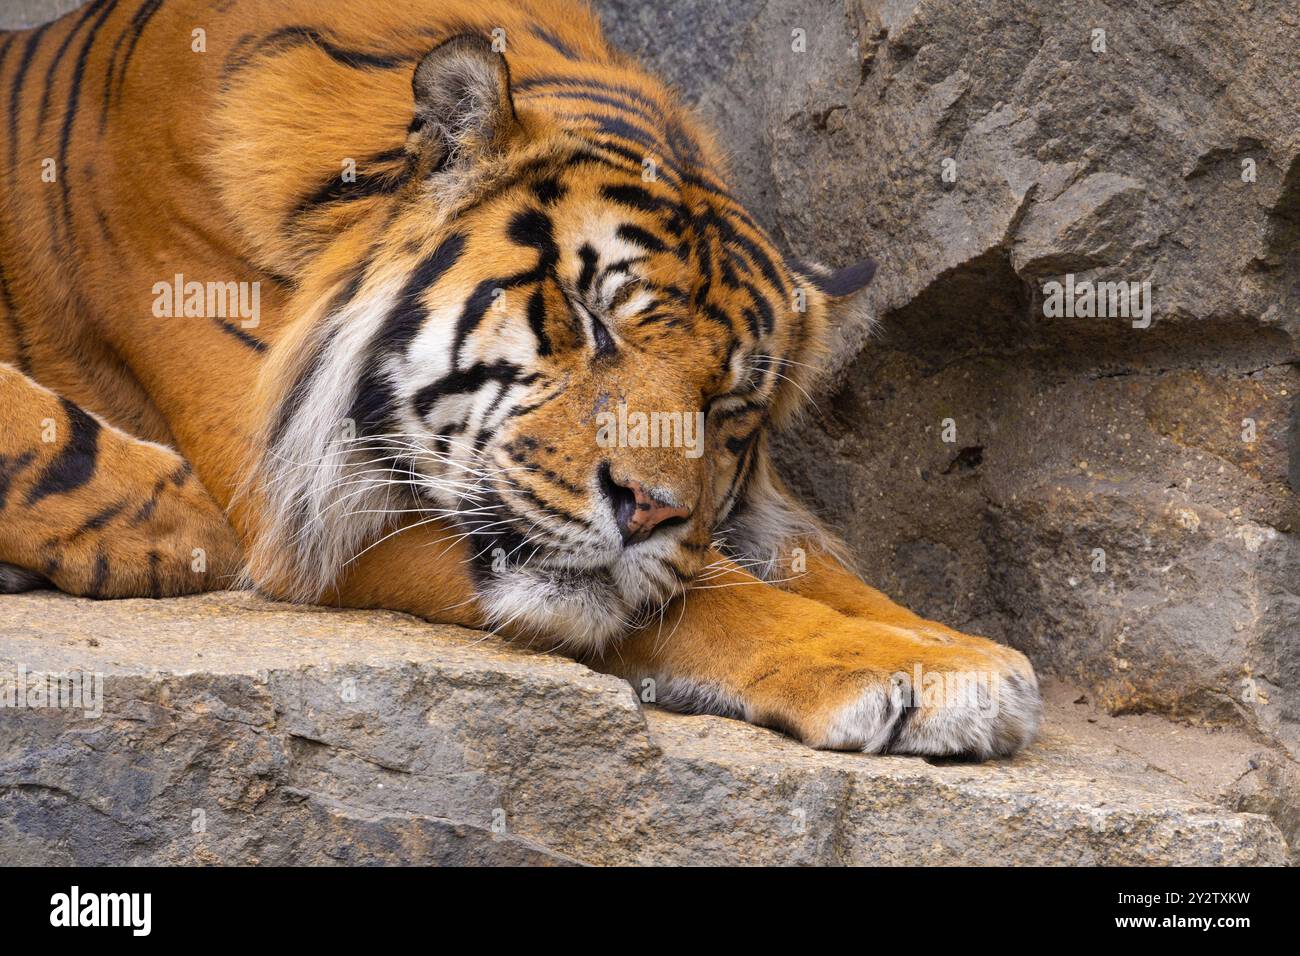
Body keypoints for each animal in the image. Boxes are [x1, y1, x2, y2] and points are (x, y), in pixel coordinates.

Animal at [0, 0, 1041, 758]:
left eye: (729, 405)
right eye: (588, 318)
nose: (649, 510)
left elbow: (805, 565)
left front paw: (959, 648)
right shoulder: (301, 502)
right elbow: (718, 592)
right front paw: (918, 673)